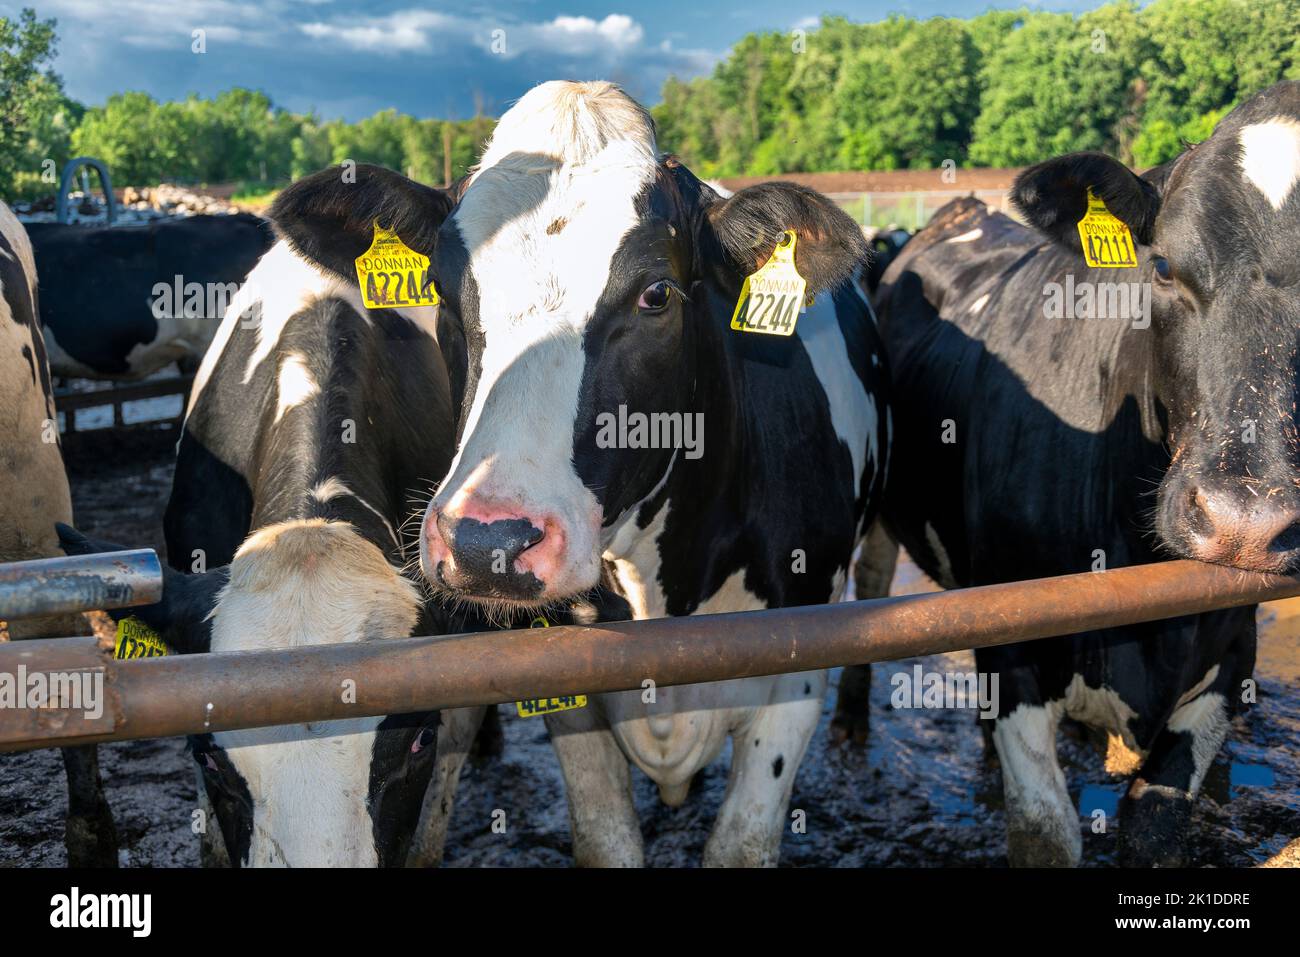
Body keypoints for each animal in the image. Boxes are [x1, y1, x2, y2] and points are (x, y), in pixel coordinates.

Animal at [268, 80, 891, 866]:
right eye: (441, 287)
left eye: (657, 293)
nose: (487, 541)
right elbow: (605, 835)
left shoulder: (800, 666)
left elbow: (742, 841)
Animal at [852, 80, 1300, 867]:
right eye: (1162, 267)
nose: (1244, 522)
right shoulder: (1016, 648)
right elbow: (1043, 828)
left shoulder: (1227, 654)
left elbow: (1155, 822)